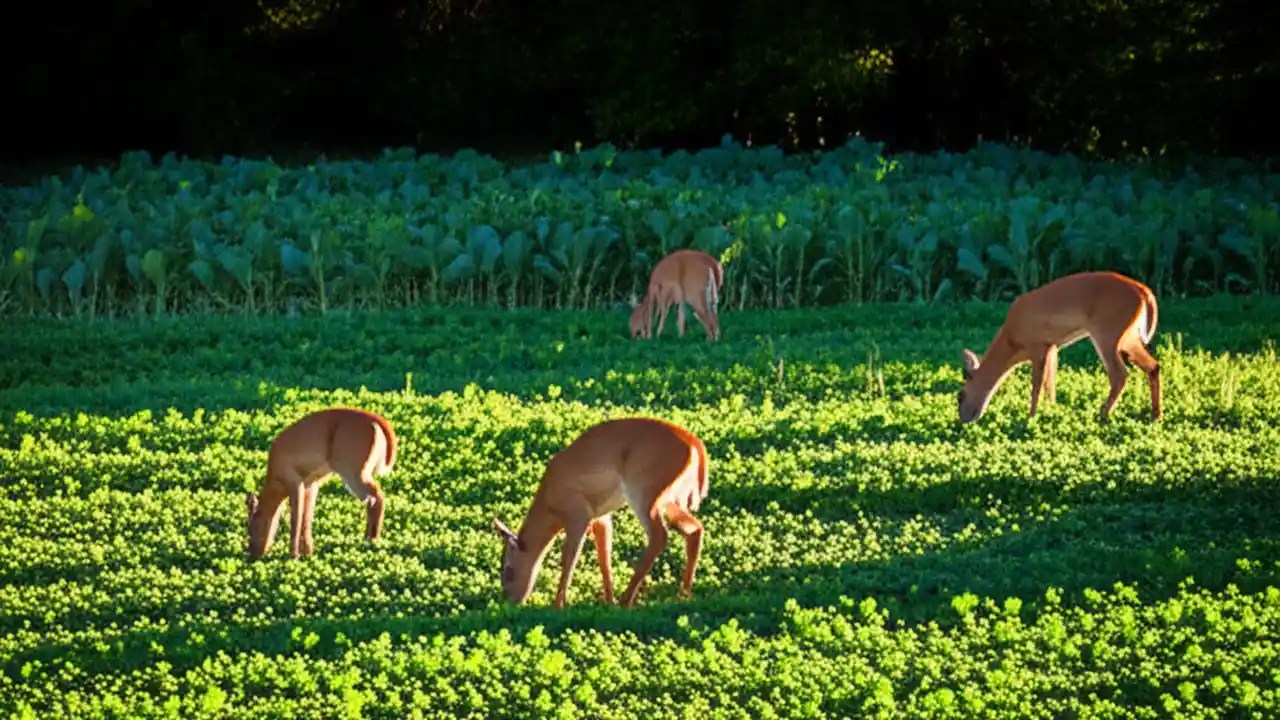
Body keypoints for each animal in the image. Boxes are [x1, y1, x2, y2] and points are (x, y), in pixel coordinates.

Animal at [245, 407, 395, 559]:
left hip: (352, 469)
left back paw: (371, 539)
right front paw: (308, 552)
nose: (252, 552)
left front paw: (294, 555)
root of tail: (377, 421)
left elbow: (295, 519)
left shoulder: (294, 481)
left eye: (250, 530)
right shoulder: (311, 483)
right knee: (374, 498)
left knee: (376, 497)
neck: (276, 480)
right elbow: (306, 517)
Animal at [491, 417, 710, 608]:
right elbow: (604, 555)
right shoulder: (600, 517)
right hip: (670, 500)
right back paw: (683, 594)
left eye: (508, 570)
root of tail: (694, 444)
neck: (550, 502)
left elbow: (569, 558)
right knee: (695, 529)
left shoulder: (578, 516)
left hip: (643, 492)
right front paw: (608, 601)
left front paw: (558, 606)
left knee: (660, 536)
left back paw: (626, 601)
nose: (509, 600)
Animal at [958, 271, 1161, 424]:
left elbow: (1037, 385)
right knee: (1153, 366)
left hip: (1108, 332)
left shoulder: (1038, 346)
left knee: (1120, 375)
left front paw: (1031, 417)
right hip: (1128, 336)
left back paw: (1103, 414)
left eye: (960, 395)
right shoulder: (1052, 347)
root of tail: (1145, 292)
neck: (1012, 341)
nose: (964, 420)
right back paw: (1155, 415)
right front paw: (1052, 410)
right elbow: (1051, 382)